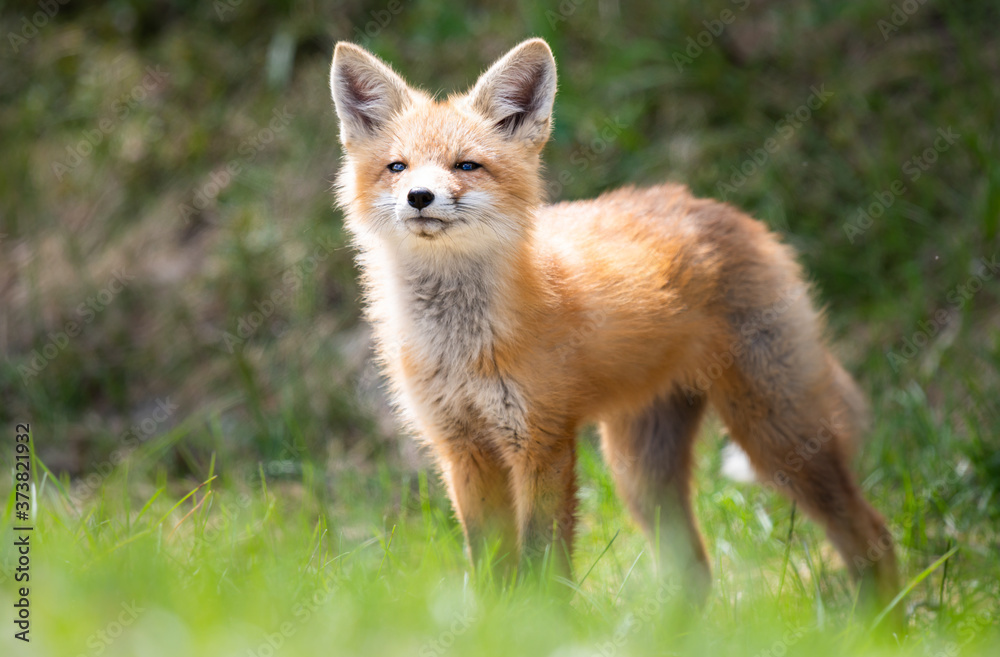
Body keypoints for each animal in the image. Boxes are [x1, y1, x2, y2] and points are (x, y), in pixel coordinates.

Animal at [329, 38, 899, 616]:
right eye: (397, 167)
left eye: (467, 165)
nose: (420, 196)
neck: (461, 346)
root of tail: (725, 212)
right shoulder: (461, 448)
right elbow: (491, 568)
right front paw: (495, 625)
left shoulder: (542, 443)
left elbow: (542, 564)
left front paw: (540, 624)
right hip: (641, 472)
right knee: (696, 569)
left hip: (776, 434)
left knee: (871, 533)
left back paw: (879, 623)